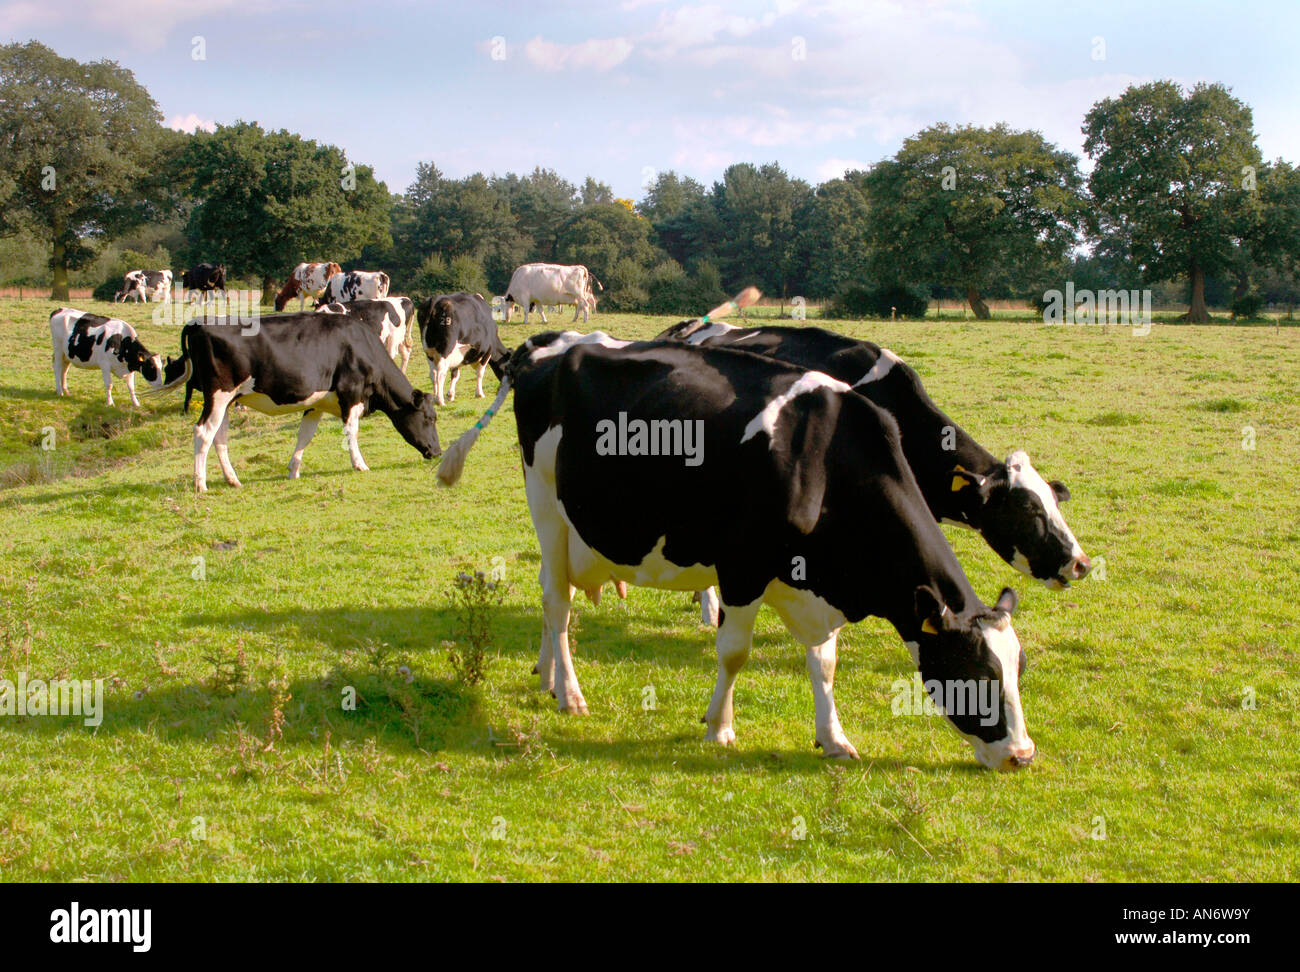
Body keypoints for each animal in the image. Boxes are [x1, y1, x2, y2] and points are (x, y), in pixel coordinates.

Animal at [158, 311, 440, 492]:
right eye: (429, 418)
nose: (437, 451)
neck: (361, 345)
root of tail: (200, 322)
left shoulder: (316, 402)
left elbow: (305, 435)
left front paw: (293, 470)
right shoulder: (351, 393)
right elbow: (351, 431)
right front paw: (360, 464)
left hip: (226, 401)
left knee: (219, 437)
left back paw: (232, 479)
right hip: (218, 395)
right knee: (203, 433)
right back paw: (200, 483)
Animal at [436, 332, 1035, 771]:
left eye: (1018, 671)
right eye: (979, 674)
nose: (1022, 756)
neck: (824, 458)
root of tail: (547, 348)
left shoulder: (815, 583)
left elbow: (825, 662)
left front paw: (833, 737)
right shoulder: (743, 567)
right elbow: (733, 653)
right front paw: (719, 727)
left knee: (547, 593)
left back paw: (546, 674)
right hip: (547, 504)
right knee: (559, 603)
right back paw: (570, 693)